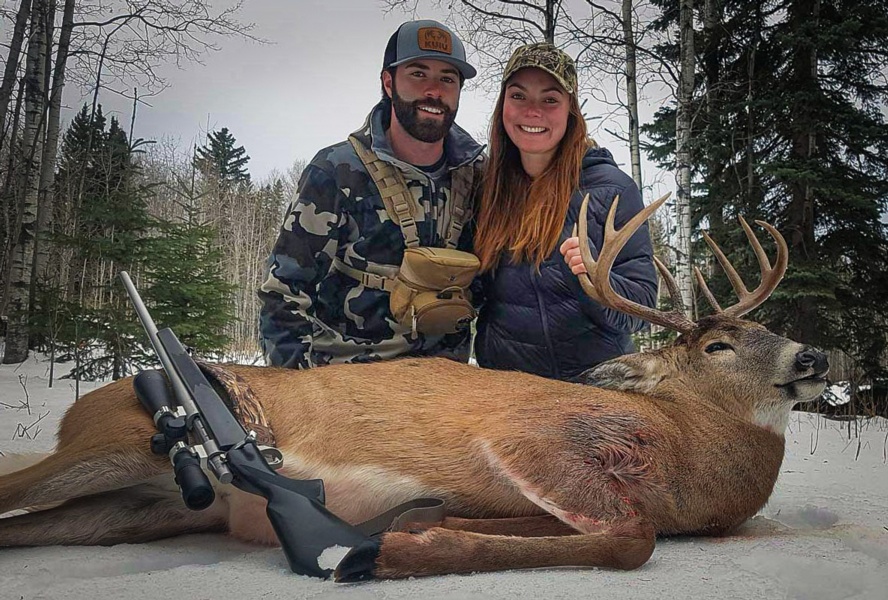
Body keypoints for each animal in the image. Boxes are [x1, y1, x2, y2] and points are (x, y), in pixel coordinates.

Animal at [0, 195, 829, 581]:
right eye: (719, 344)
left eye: (770, 327)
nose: (815, 356)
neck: (691, 456)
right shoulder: (535, 437)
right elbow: (632, 537)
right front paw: (389, 553)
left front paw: (417, 526)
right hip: (109, 444)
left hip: (142, 507)